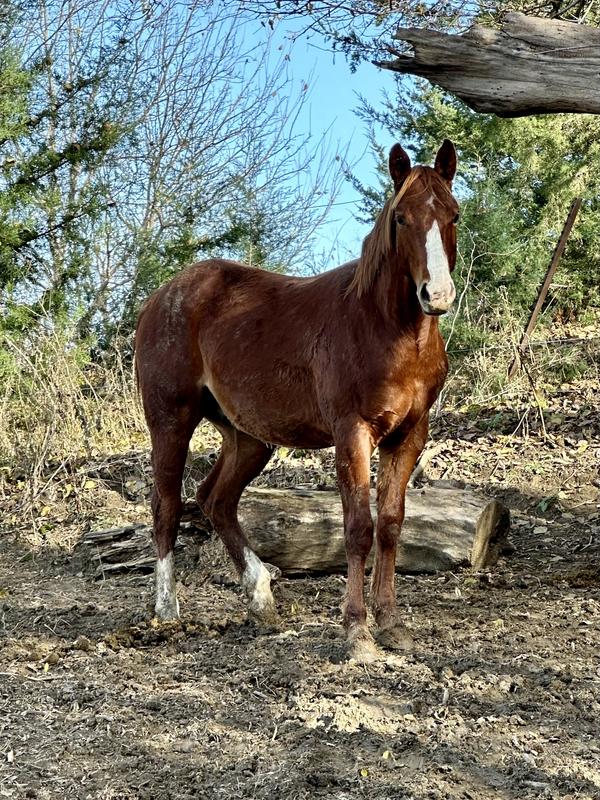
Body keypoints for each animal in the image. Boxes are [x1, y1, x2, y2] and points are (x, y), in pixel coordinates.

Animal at [134, 140, 459, 662]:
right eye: (402, 217)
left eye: (453, 215)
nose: (437, 294)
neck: (385, 330)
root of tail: (161, 297)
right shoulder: (353, 433)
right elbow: (358, 528)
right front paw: (357, 633)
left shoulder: (408, 436)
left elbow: (390, 524)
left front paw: (391, 624)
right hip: (171, 421)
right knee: (166, 505)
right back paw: (167, 611)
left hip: (247, 438)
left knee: (215, 501)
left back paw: (261, 596)